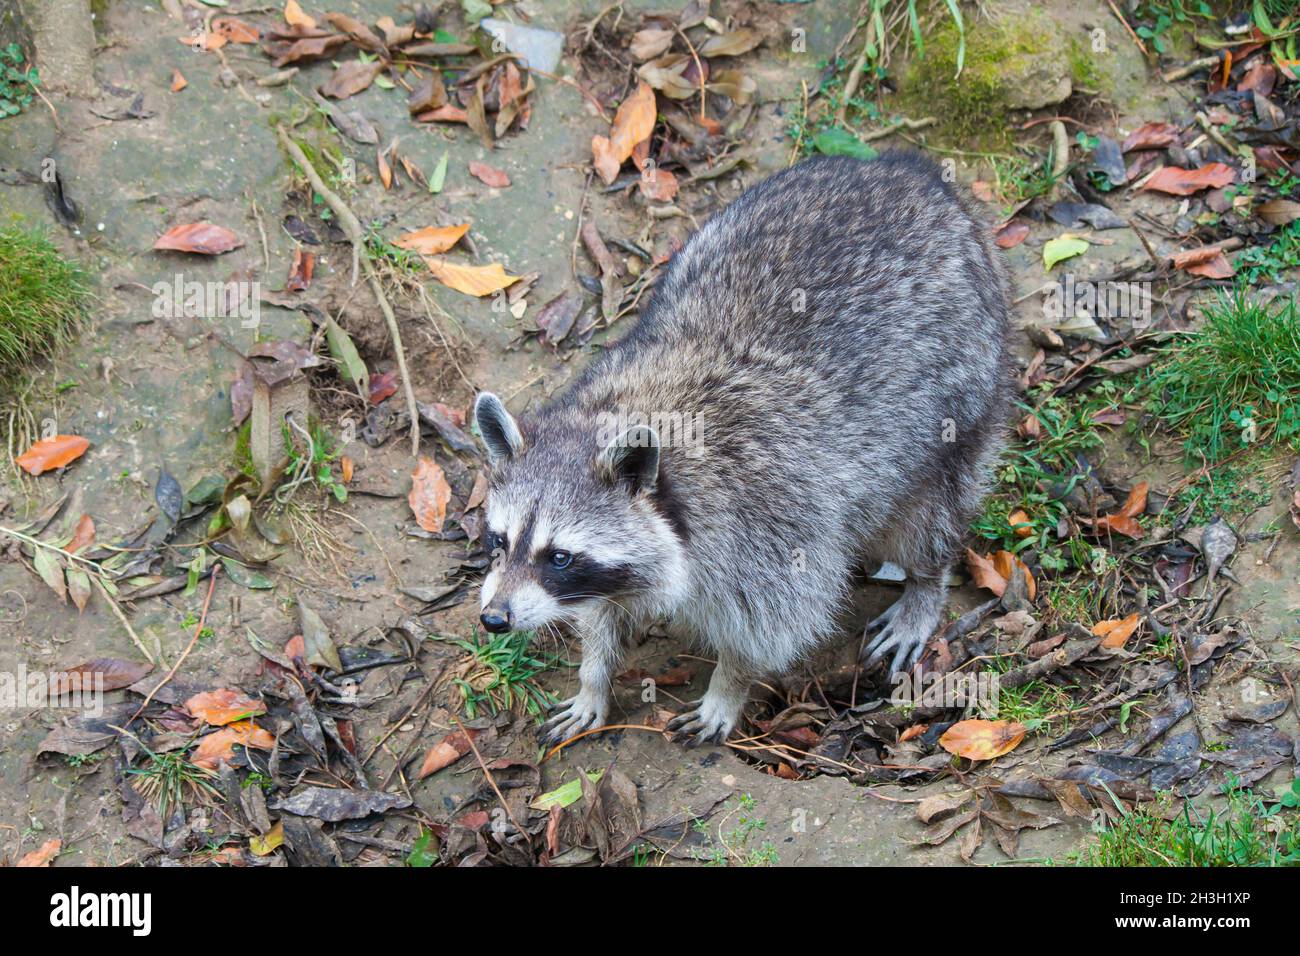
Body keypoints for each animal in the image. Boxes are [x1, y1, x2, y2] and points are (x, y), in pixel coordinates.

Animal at [474, 151, 1010, 747]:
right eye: (499, 540)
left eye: (560, 557)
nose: (494, 618)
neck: (623, 413)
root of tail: (910, 168)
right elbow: (603, 613)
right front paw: (595, 675)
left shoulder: (773, 522)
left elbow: (775, 623)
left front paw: (728, 686)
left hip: (964, 389)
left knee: (928, 515)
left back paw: (924, 583)